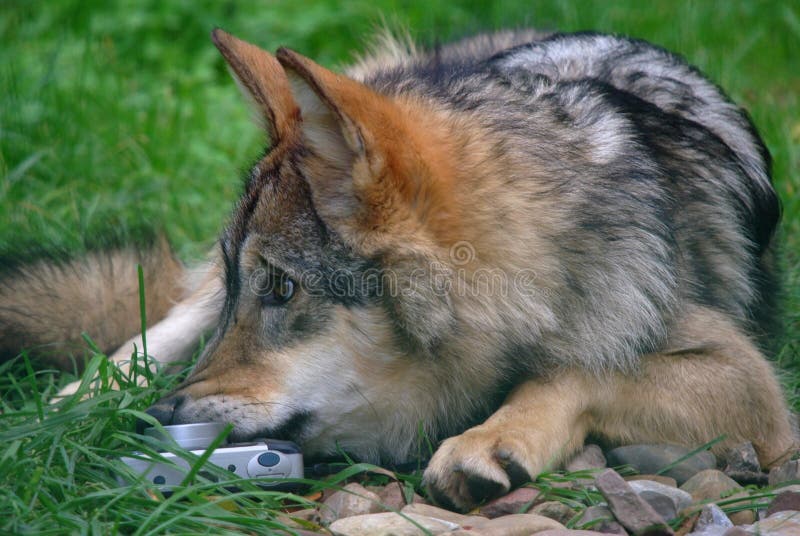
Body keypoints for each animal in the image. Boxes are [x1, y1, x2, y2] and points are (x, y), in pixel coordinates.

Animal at [1, 28, 796, 510]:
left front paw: (485, 440)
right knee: (159, 324)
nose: (163, 417)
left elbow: (576, 370)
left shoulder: (752, 384)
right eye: (243, 287)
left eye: (282, 287)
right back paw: (59, 413)